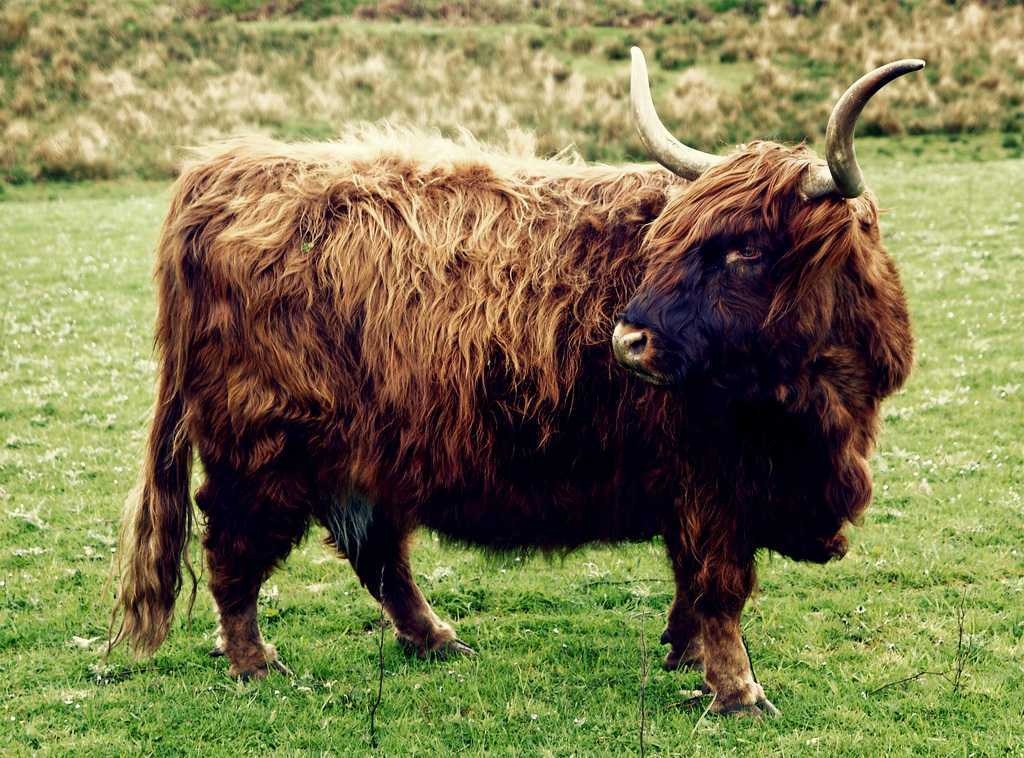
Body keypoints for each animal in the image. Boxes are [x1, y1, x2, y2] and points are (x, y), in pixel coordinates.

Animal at [111, 48, 921, 717]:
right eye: (671, 240)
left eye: (747, 251)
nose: (627, 339)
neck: (816, 409)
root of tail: (222, 171)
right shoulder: (711, 482)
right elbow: (720, 584)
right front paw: (738, 691)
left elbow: (693, 585)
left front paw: (682, 650)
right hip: (262, 446)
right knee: (235, 550)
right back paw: (255, 663)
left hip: (362, 457)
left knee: (375, 553)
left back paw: (435, 638)